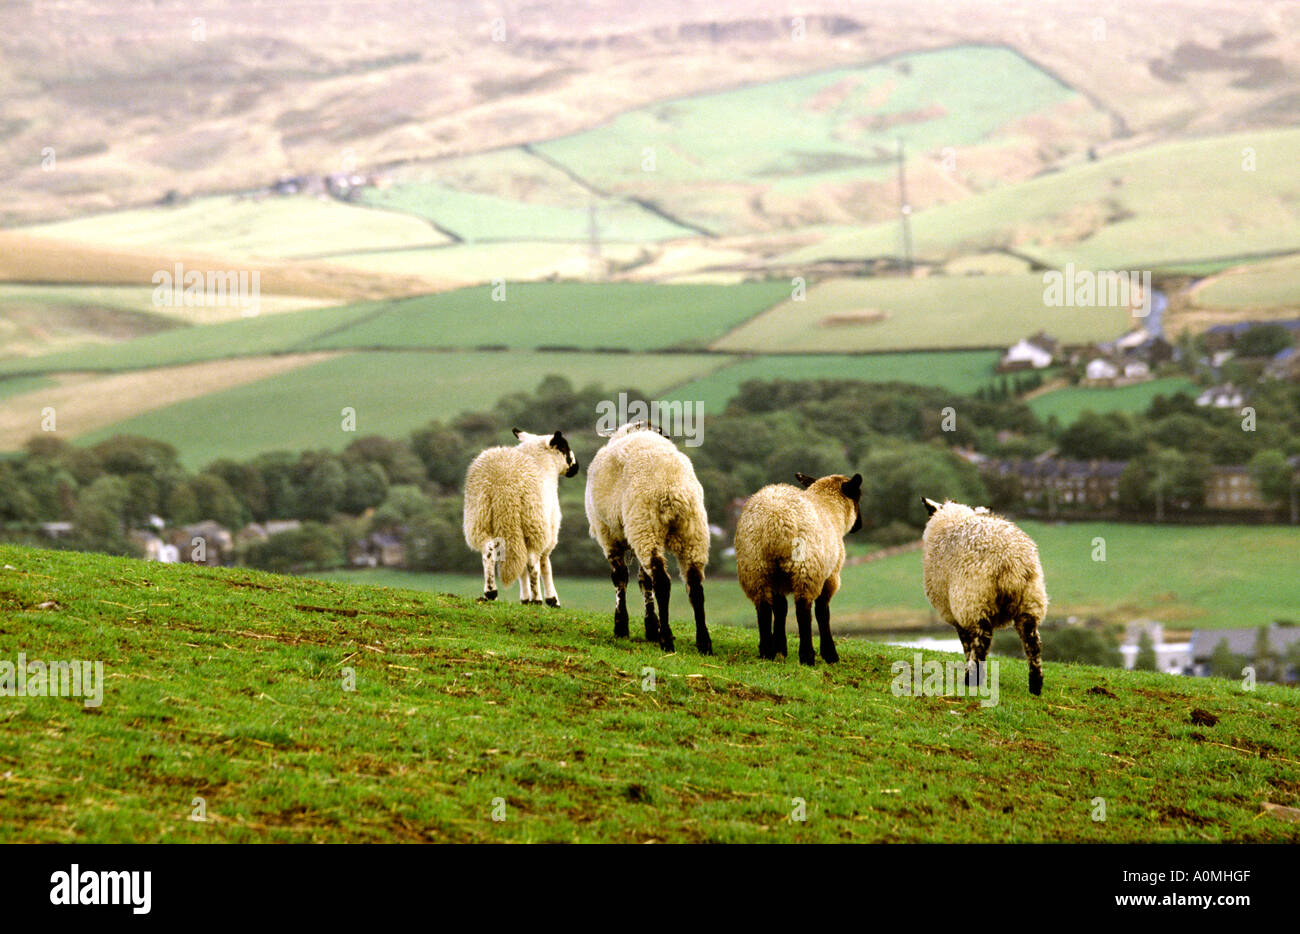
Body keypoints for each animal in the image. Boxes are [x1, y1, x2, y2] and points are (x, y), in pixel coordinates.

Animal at [463, 428, 579, 605]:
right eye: (564, 447)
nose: (576, 467)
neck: (543, 464)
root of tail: (502, 485)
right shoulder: (549, 529)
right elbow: (545, 564)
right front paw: (552, 600)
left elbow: (521, 565)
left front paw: (525, 599)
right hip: (533, 521)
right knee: (532, 562)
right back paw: (537, 599)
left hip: (479, 517)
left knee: (489, 552)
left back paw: (491, 593)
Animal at [585, 421, 712, 654]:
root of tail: (672, 488)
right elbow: (644, 581)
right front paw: (651, 626)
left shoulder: (608, 535)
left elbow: (620, 578)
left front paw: (622, 626)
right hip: (692, 531)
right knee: (694, 584)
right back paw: (703, 642)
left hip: (645, 527)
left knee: (662, 582)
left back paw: (667, 641)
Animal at [735, 472, 863, 666]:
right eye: (858, 496)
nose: (859, 526)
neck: (831, 510)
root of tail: (774, 522)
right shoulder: (830, 576)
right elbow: (822, 612)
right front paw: (830, 654)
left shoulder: (778, 582)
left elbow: (781, 609)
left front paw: (780, 648)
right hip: (805, 567)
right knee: (803, 609)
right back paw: (807, 656)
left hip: (756, 567)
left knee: (764, 607)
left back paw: (767, 652)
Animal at [920, 497, 1047, 695]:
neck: (950, 521)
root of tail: (1012, 562)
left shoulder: (956, 613)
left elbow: (966, 643)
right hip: (1031, 600)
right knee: (1032, 642)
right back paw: (1035, 686)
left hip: (974, 599)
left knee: (982, 640)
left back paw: (971, 680)